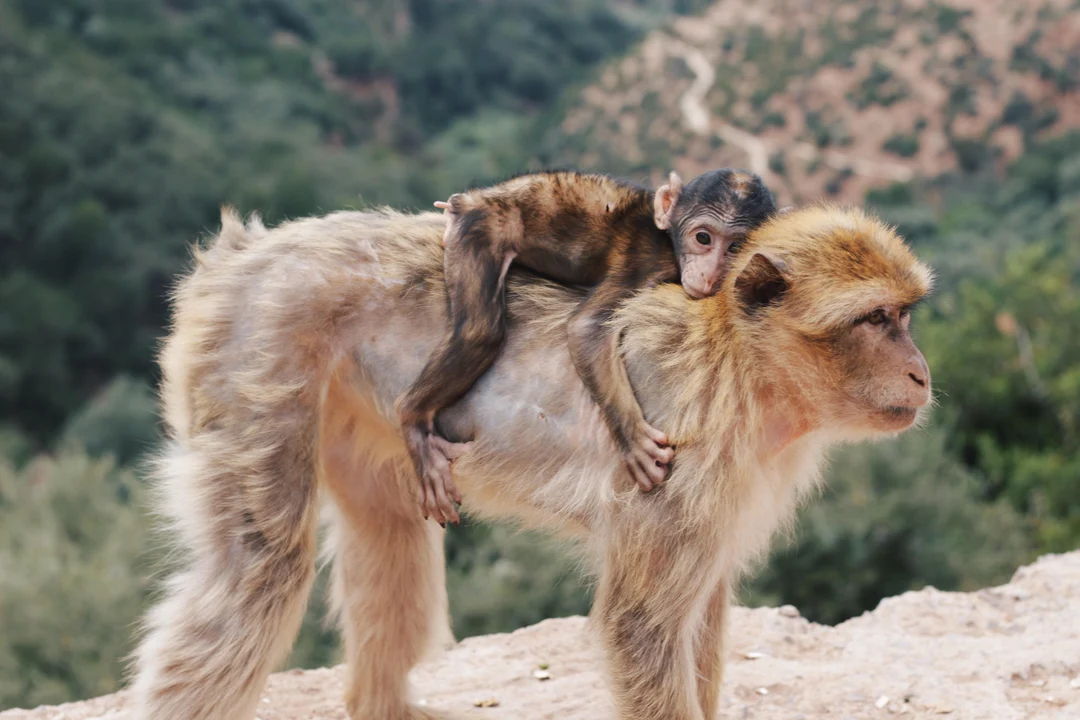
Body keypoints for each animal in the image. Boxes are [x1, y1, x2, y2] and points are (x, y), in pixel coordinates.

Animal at [398, 169, 777, 524]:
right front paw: (634, 443)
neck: (668, 238)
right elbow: (586, 328)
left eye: (734, 248)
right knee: (480, 331)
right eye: (703, 238)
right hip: (480, 228)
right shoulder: (646, 263)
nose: (711, 274)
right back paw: (413, 418)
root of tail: (473, 200)